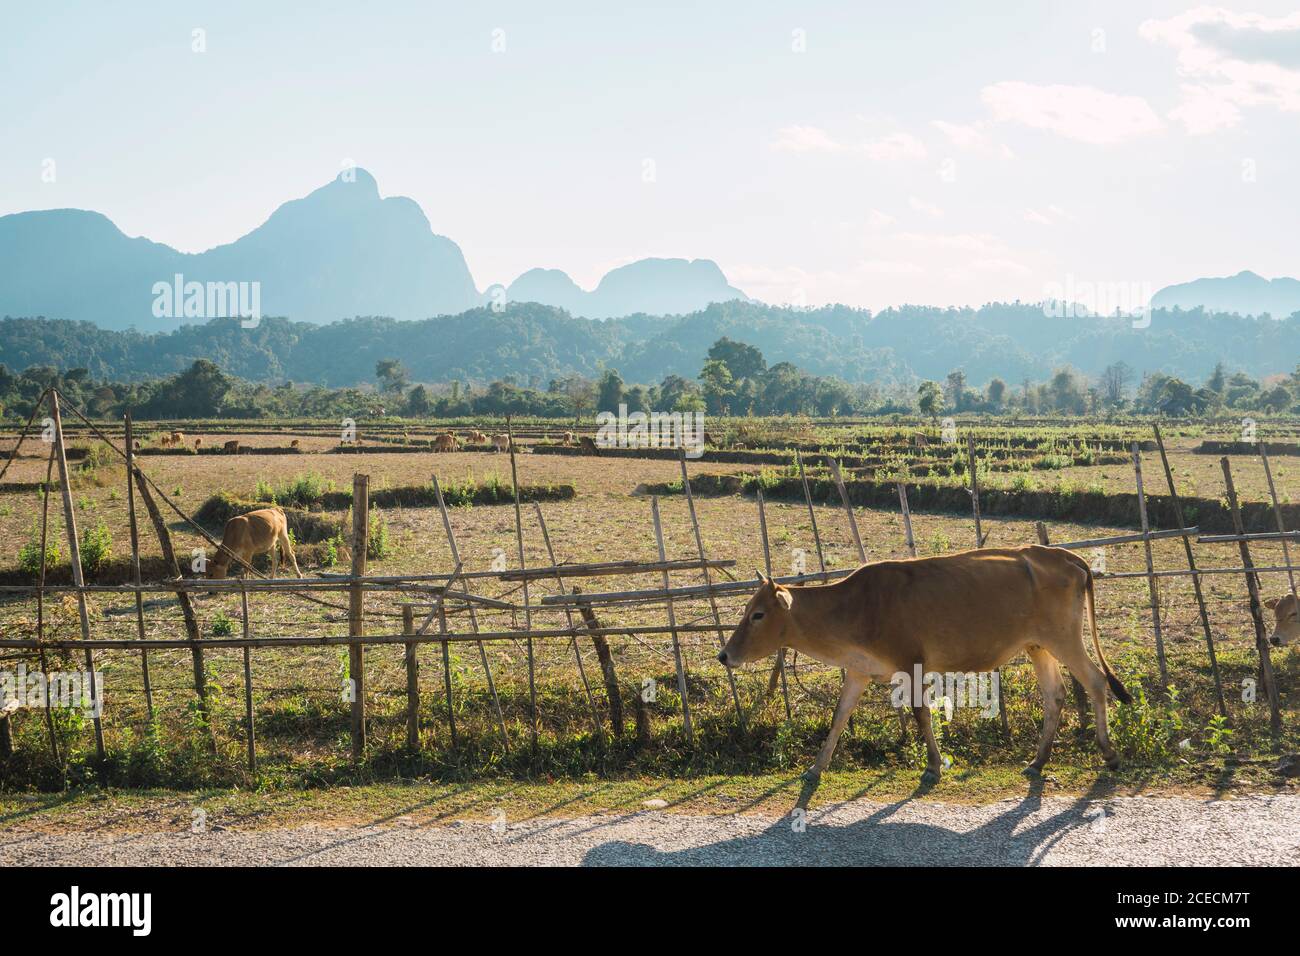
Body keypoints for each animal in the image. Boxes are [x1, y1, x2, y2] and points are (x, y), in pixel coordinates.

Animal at [718, 545, 1131, 787]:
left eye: (757, 614)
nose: (724, 655)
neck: (855, 606)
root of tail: (1063, 555)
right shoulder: (859, 670)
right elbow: (839, 716)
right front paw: (816, 768)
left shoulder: (911, 663)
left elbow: (921, 713)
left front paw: (933, 765)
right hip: (1037, 646)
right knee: (1055, 695)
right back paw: (1038, 761)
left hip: (1065, 639)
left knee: (1096, 682)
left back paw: (1109, 753)